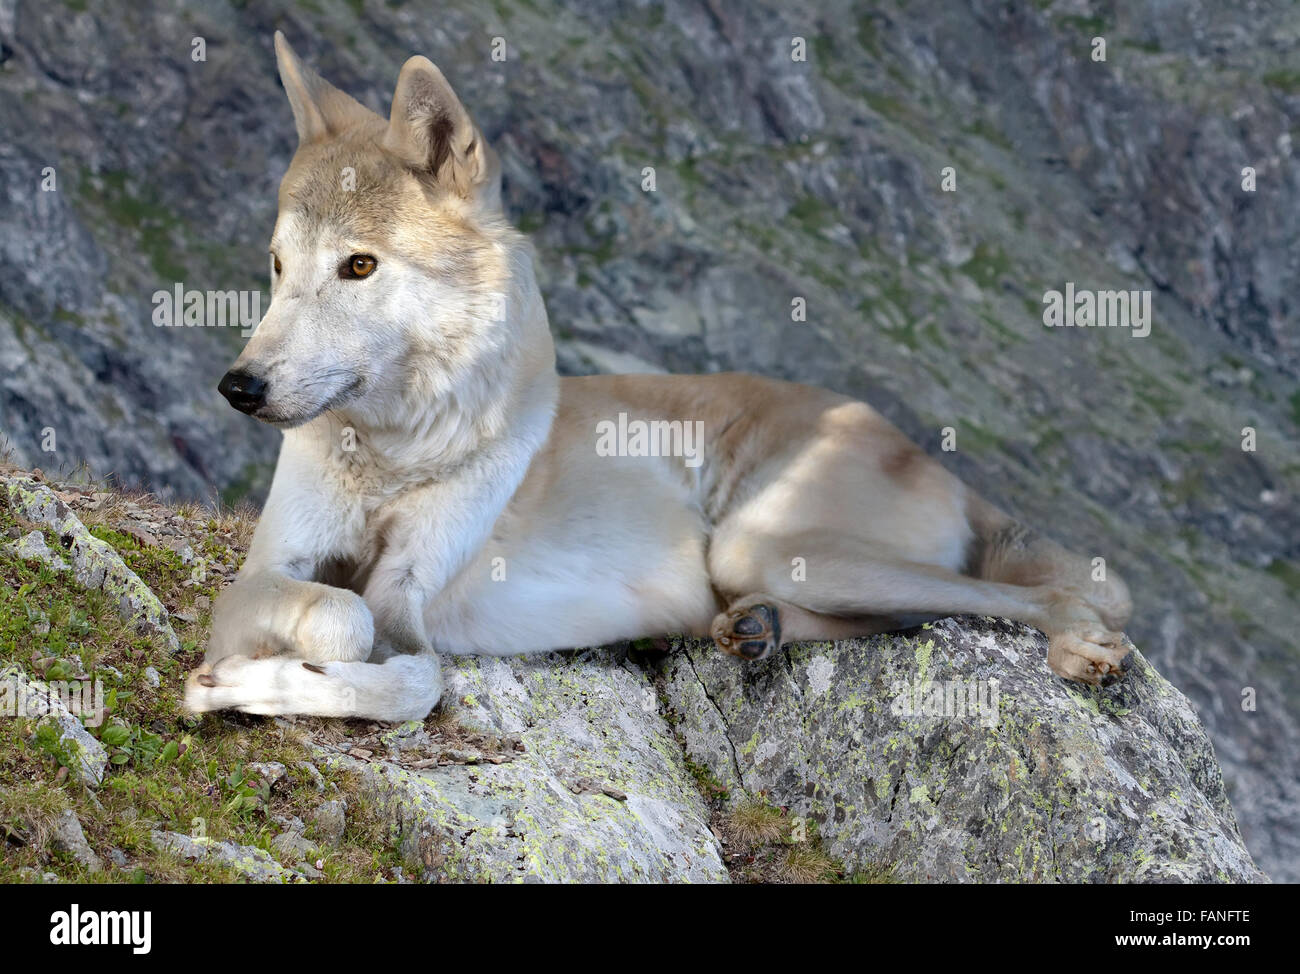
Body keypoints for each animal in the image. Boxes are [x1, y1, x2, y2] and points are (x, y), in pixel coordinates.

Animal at [184, 33, 1133, 721]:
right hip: (762, 561)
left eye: (358, 267)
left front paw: (246, 685)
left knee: (1051, 594)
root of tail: (917, 449)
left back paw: (1080, 646)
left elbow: (403, 671)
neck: (399, 453)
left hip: (764, 542)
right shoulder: (271, 564)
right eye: (276, 265)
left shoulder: (408, 603)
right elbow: (337, 612)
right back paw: (758, 629)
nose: (239, 386)